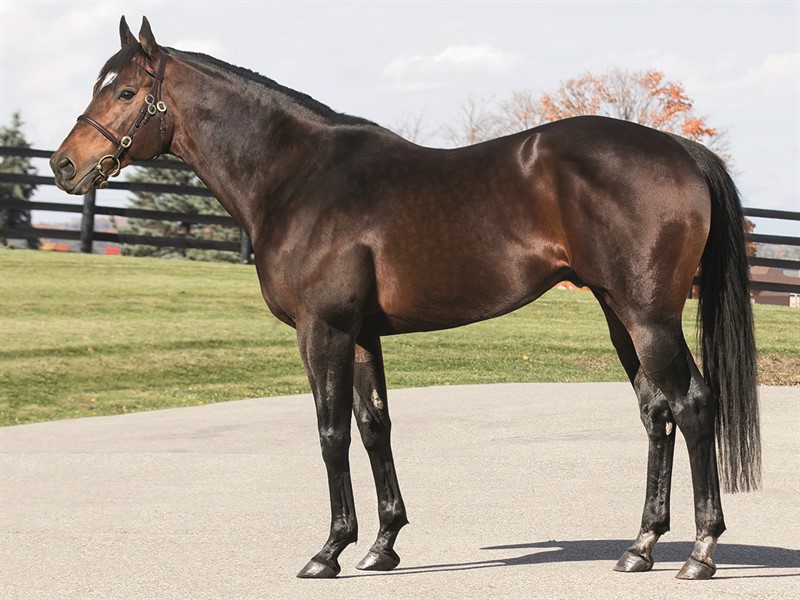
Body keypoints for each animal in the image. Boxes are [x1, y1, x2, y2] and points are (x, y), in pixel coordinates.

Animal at [51, 16, 760, 580]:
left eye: (125, 91)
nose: (63, 166)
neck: (299, 178)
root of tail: (681, 149)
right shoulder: (362, 334)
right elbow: (374, 427)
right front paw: (382, 545)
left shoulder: (323, 329)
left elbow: (331, 431)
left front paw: (329, 551)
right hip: (620, 314)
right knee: (656, 412)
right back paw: (640, 546)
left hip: (648, 318)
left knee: (693, 406)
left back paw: (700, 552)